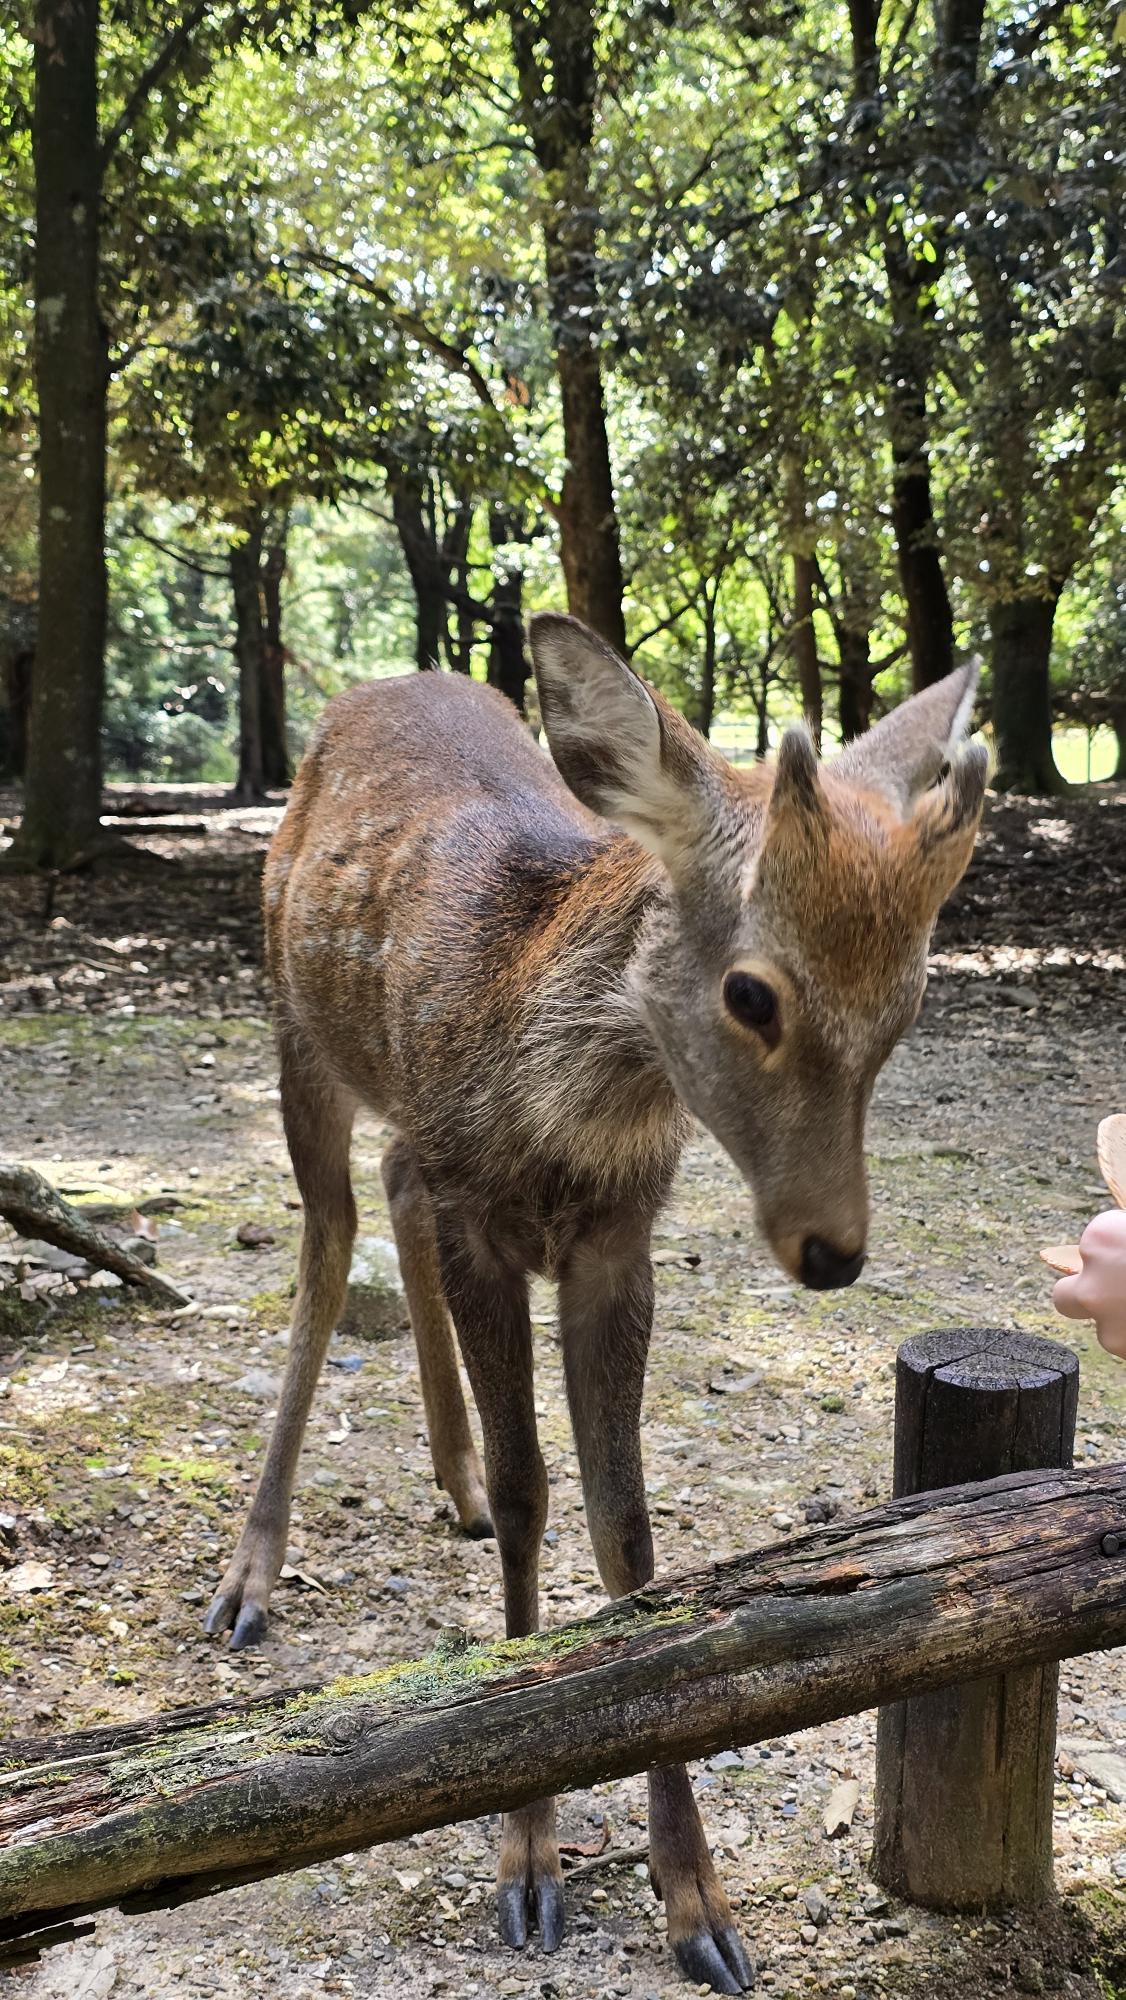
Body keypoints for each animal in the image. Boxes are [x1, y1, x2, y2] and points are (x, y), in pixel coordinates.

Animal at [207, 616, 992, 1992]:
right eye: (752, 992)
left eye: (906, 1005)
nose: (832, 1249)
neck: (553, 1110)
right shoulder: (479, 1211)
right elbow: (538, 1496)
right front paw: (527, 1860)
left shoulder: (617, 1243)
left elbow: (628, 1533)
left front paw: (698, 1900)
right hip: (295, 1023)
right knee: (326, 1241)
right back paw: (252, 1571)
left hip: (402, 1121)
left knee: (392, 1188)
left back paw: (450, 1477)